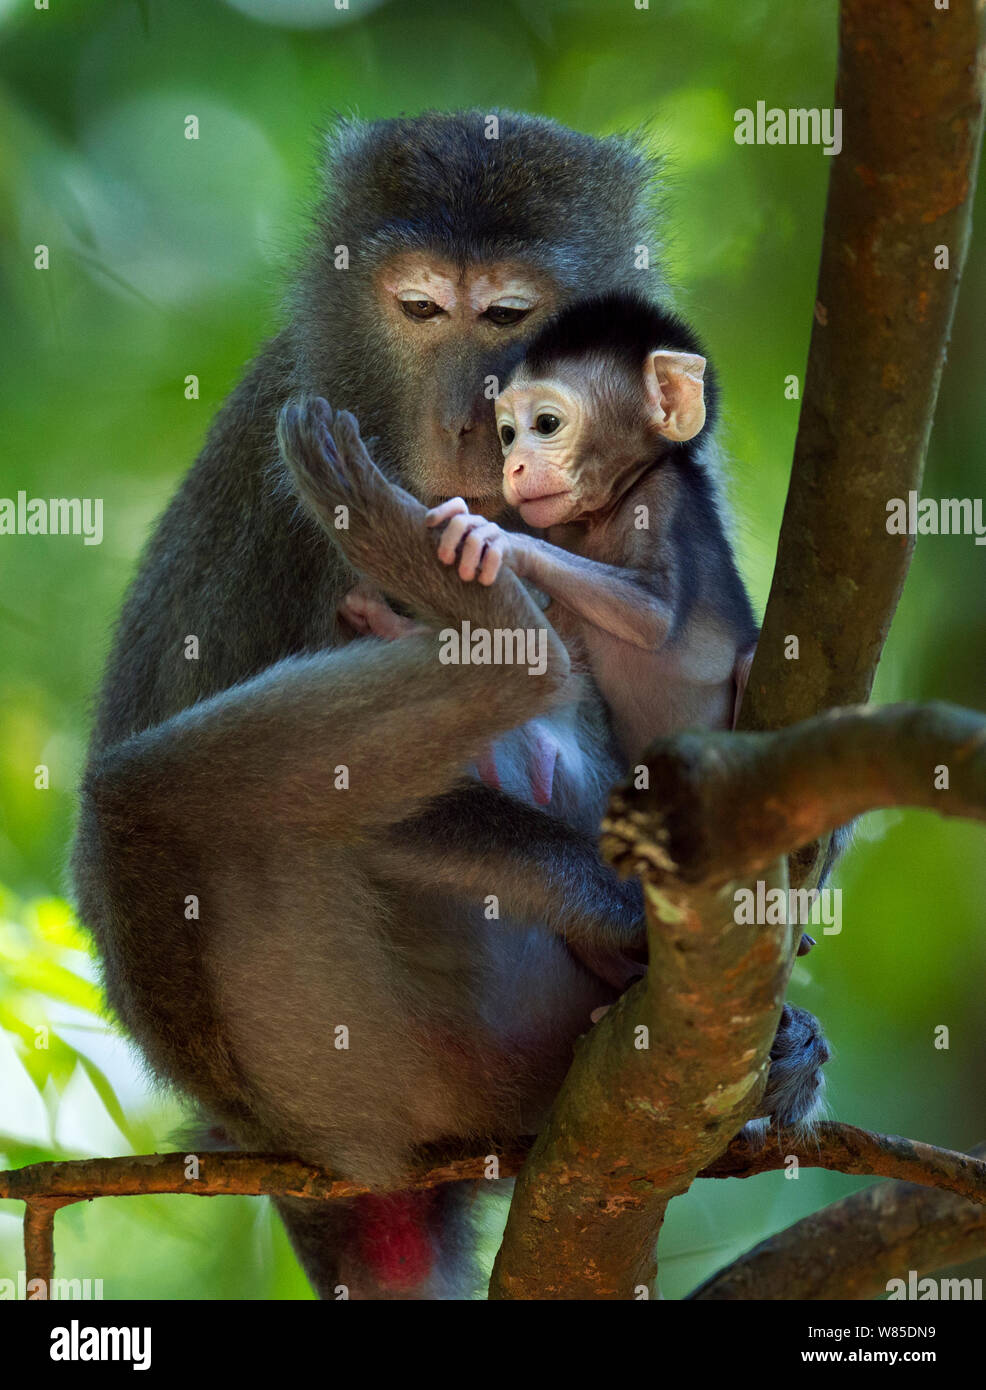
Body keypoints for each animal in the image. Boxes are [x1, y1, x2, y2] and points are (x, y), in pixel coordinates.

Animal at [72, 111, 829, 1301]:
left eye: (509, 318)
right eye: (423, 310)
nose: (484, 430)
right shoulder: (293, 501)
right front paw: (608, 893)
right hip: (340, 1036)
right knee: (143, 798)